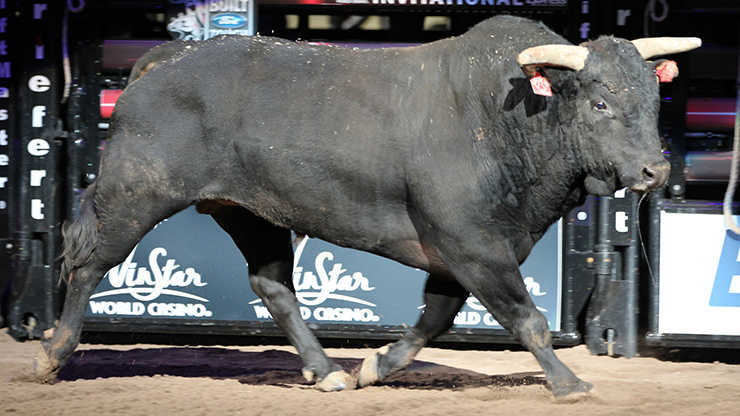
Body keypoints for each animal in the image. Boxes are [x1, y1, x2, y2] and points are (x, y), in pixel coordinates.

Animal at [33, 15, 700, 398]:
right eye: (600, 104)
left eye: (652, 99)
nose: (656, 170)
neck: (509, 116)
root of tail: (163, 60)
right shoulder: (475, 245)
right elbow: (527, 318)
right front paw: (568, 382)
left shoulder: (461, 253)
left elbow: (436, 316)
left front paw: (376, 365)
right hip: (134, 193)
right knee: (86, 259)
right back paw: (53, 353)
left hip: (249, 212)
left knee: (272, 284)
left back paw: (326, 369)